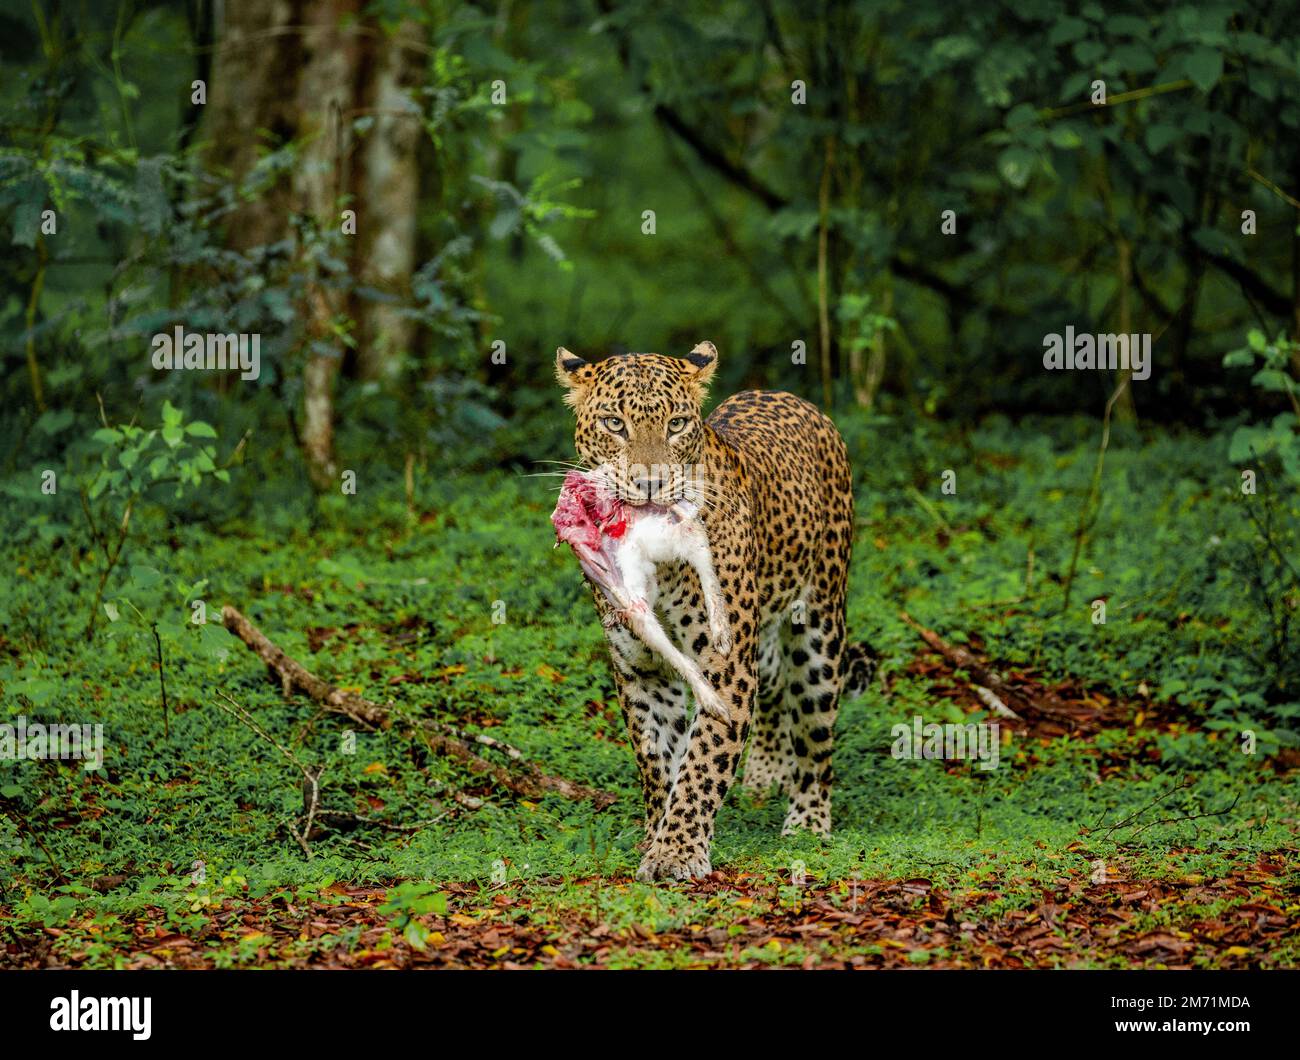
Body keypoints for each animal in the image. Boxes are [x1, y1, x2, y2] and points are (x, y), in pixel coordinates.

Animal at [554, 340, 876, 882]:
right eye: (614, 423)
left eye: (677, 424)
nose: (650, 483)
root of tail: (786, 394)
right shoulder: (639, 666)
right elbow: (657, 758)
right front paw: (656, 838)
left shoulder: (725, 665)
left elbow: (703, 760)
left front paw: (677, 852)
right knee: (773, 687)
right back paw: (764, 774)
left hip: (820, 624)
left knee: (815, 732)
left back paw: (808, 820)